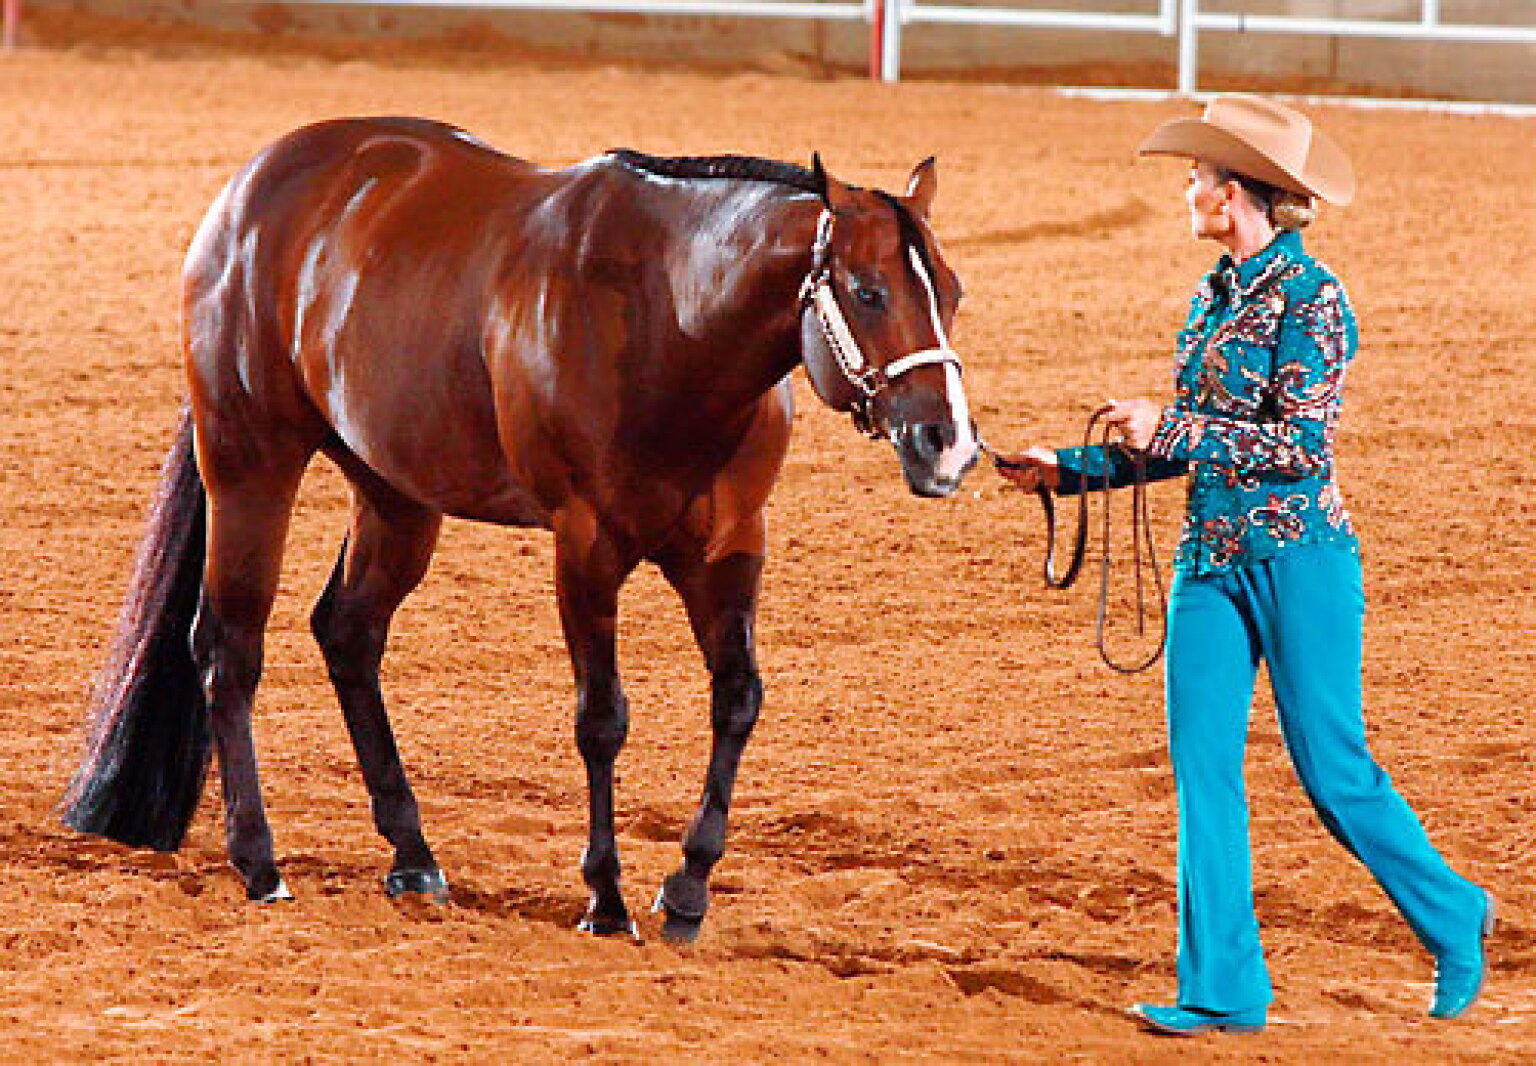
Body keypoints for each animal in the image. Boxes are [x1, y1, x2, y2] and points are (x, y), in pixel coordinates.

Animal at [62, 117, 979, 941]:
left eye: (952, 291)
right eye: (868, 291)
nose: (949, 442)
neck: (669, 318)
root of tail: (249, 192)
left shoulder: (728, 551)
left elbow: (737, 700)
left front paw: (687, 888)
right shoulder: (587, 548)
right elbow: (602, 718)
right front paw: (605, 898)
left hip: (396, 495)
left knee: (348, 635)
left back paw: (412, 855)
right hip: (250, 463)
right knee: (229, 648)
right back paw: (260, 864)